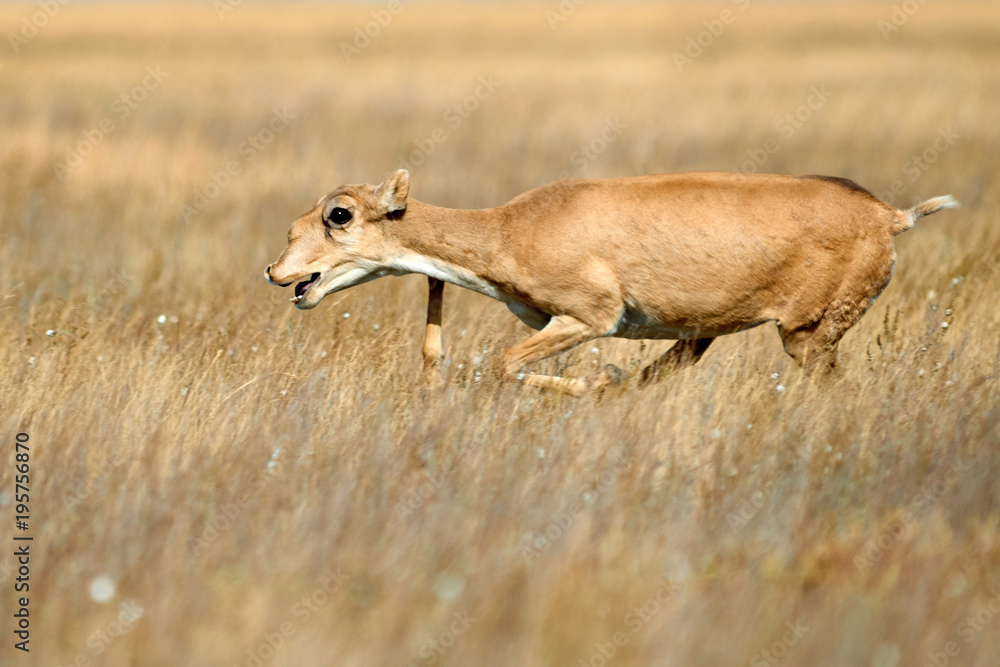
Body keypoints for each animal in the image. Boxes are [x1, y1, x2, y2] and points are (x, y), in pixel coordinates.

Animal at [264, 169, 958, 395]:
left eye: (338, 214)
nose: (277, 272)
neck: (507, 230)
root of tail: (890, 216)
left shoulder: (589, 319)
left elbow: (505, 364)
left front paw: (597, 382)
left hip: (805, 336)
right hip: (722, 336)